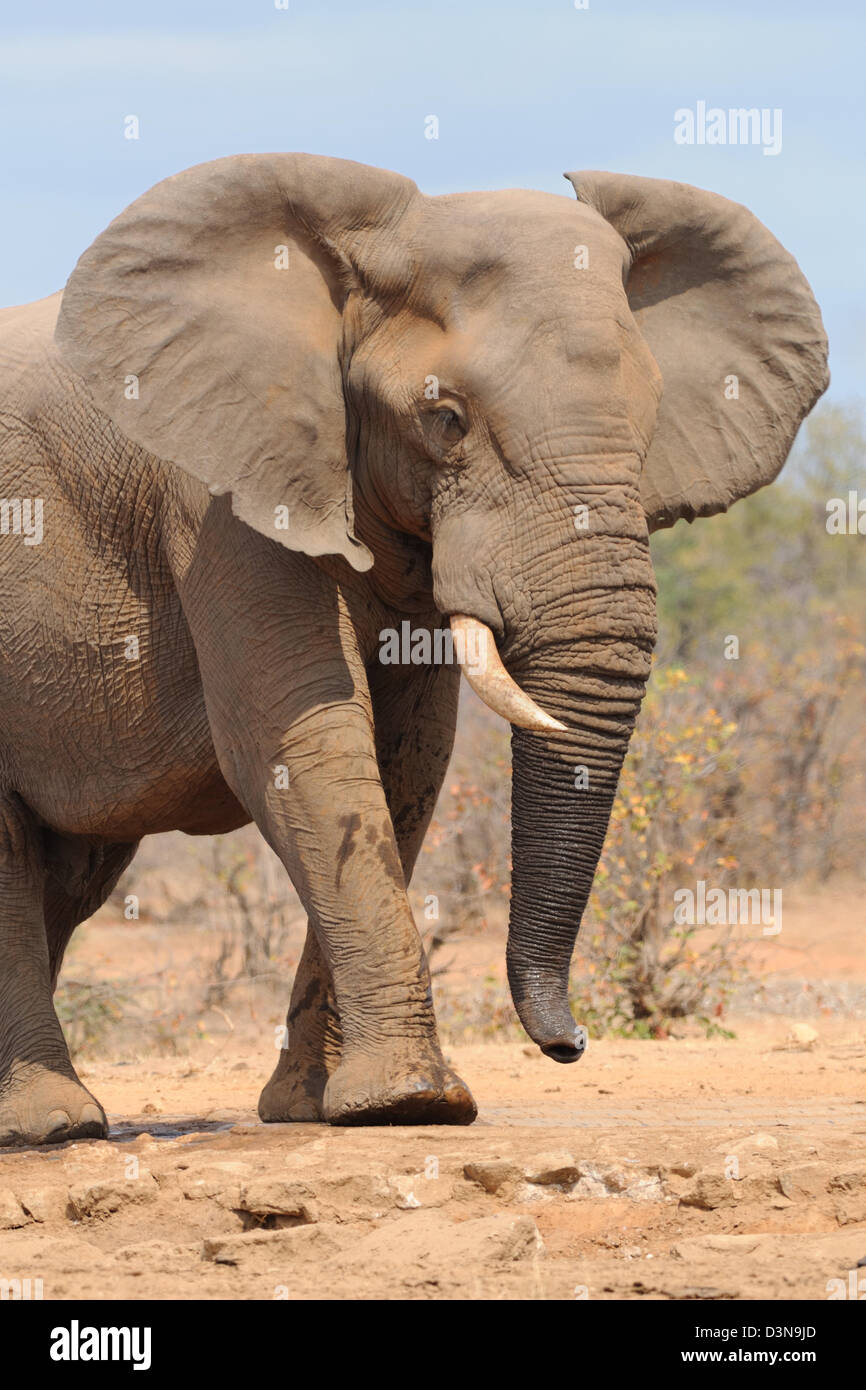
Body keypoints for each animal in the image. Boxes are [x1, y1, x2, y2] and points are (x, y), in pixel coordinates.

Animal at [0, 155, 827, 1143]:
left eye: (651, 418)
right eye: (446, 419)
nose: (573, 1043)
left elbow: (409, 756)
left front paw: (322, 1107)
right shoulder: (217, 502)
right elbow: (303, 744)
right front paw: (413, 1101)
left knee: (71, 876)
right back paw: (50, 1125)